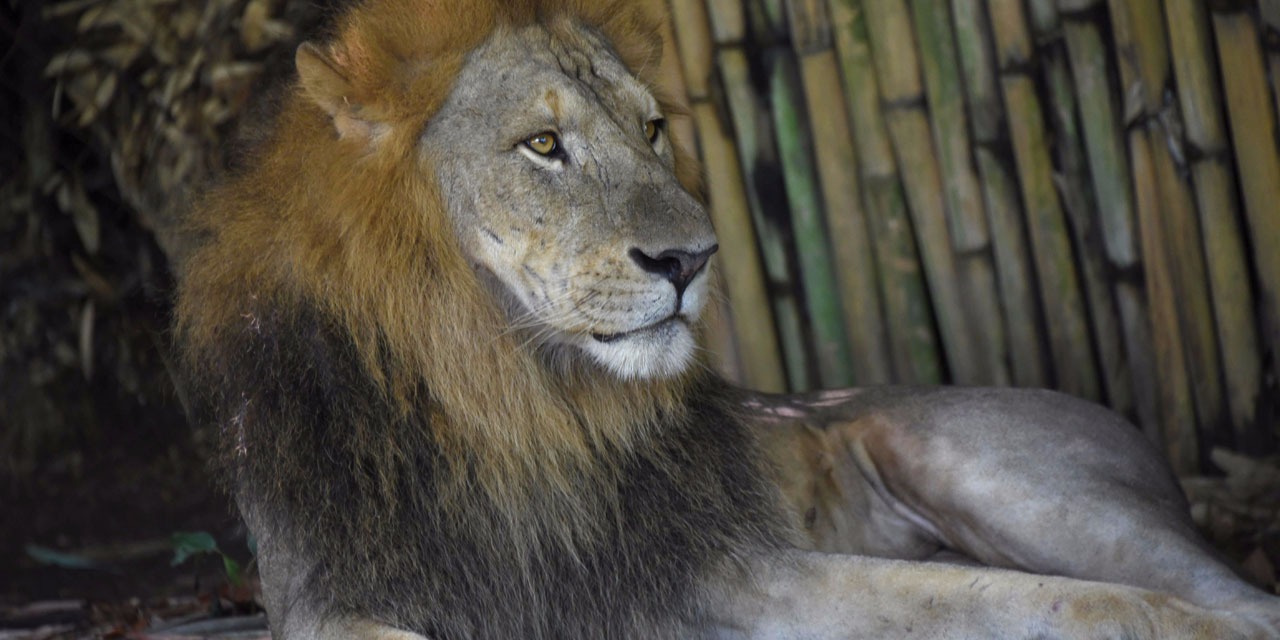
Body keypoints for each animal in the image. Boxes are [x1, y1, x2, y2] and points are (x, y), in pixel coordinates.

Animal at [175, 0, 1280, 637]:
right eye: (542, 145)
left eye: (652, 128)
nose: (690, 259)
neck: (514, 407)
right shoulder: (331, 602)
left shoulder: (724, 572)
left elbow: (1056, 602)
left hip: (1001, 474)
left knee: (1230, 591)